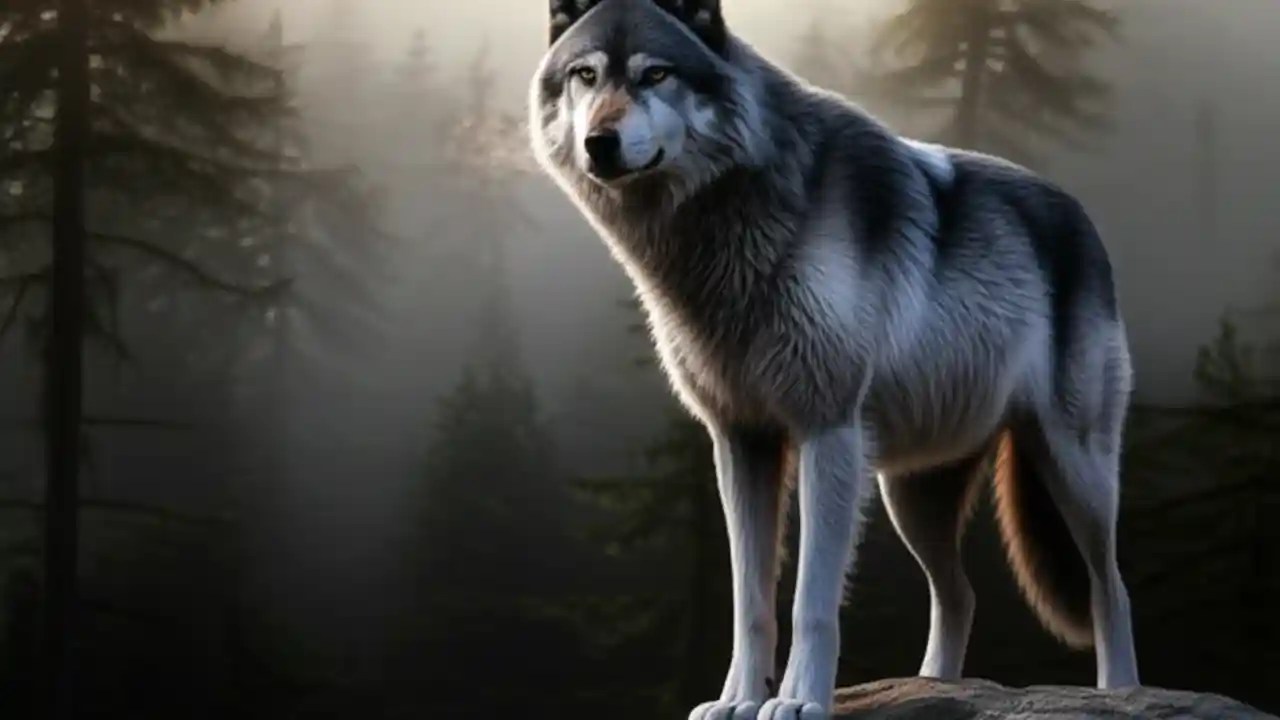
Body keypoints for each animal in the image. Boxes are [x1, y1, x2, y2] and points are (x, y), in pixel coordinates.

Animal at [528, 1, 1141, 718]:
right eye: (586, 75)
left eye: (655, 74)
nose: (600, 142)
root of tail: (1083, 218)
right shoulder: (741, 441)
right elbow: (750, 601)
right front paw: (737, 701)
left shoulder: (828, 430)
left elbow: (811, 599)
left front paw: (799, 702)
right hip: (910, 494)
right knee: (960, 593)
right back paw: (935, 686)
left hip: (1072, 466)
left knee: (1110, 588)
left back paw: (1120, 692)